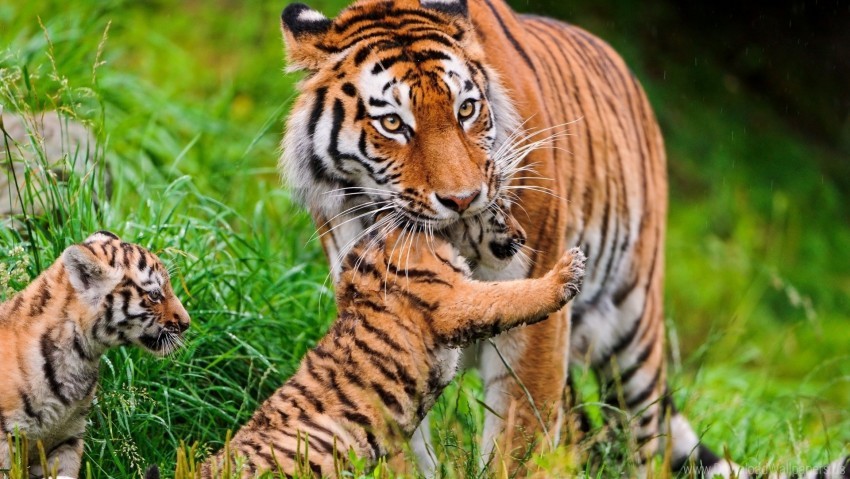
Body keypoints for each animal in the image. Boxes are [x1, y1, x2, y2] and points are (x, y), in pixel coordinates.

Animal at [198, 212, 586, 478]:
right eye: (500, 207)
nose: (523, 236)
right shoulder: (453, 300)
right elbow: (509, 295)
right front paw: (567, 272)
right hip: (319, 443)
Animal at [276, 0, 849, 476]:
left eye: (465, 110)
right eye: (393, 123)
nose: (462, 198)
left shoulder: (535, 326)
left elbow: (517, 443)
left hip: (635, 333)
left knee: (642, 443)